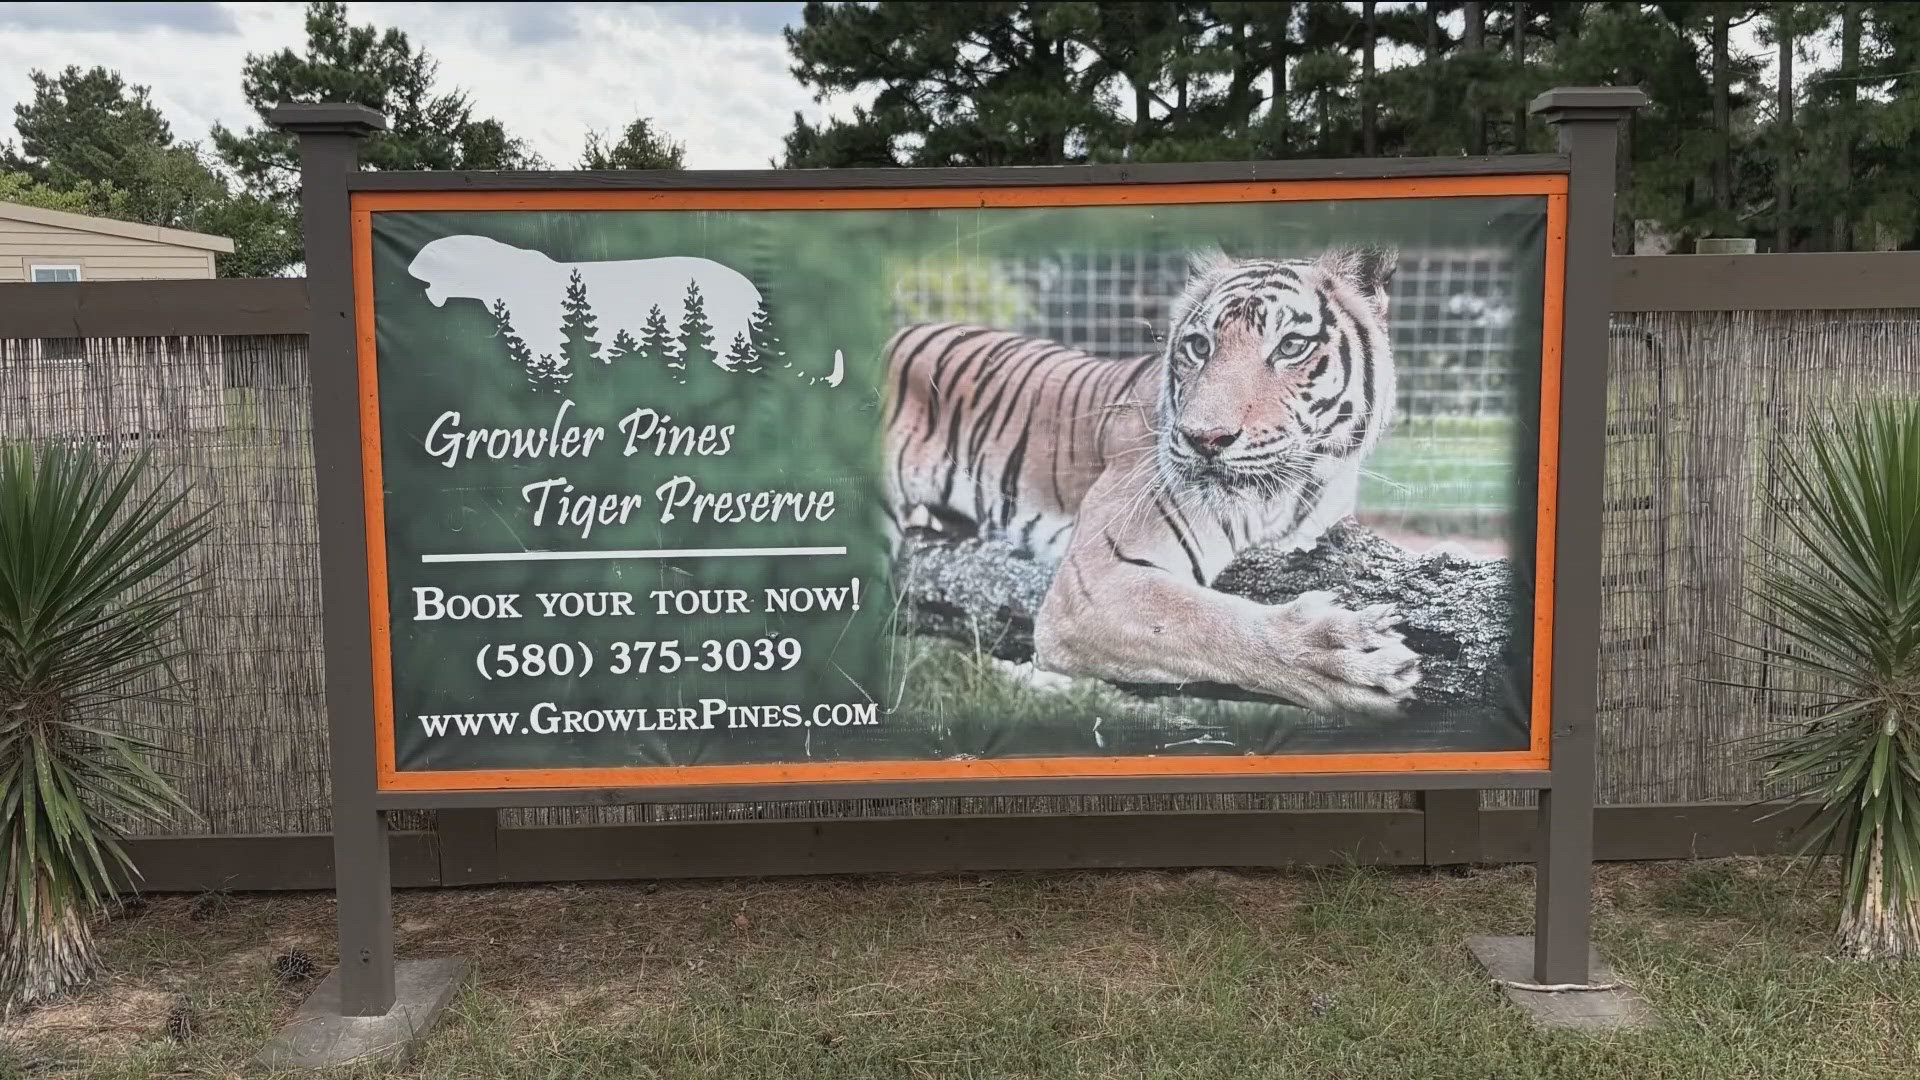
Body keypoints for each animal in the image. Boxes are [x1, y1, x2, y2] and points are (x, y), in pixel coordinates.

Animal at [882, 247, 1420, 713]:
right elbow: (1209, 621)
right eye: (1200, 346)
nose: (1204, 438)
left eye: (1291, 346)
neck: (1291, 493)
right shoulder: (1093, 586)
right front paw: (1340, 654)